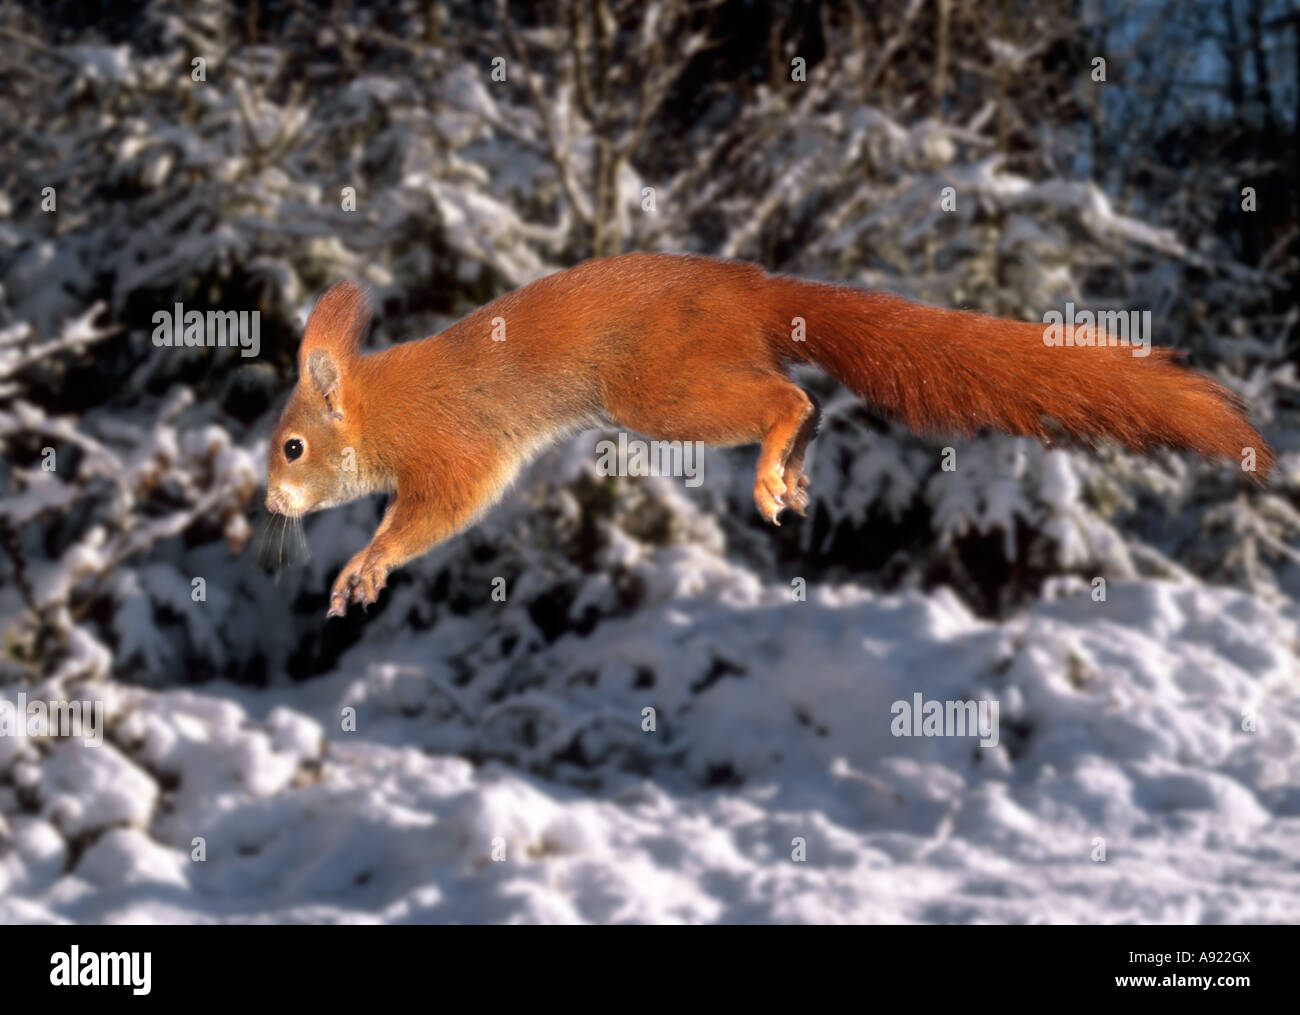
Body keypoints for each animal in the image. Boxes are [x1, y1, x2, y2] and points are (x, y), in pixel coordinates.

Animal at [264, 253, 1273, 618]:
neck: (380, 404)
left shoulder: (453, 450)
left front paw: (364, 562)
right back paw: (789, 474)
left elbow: (436, 511)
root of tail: (748, 288)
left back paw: (769, 470)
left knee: (785, 399)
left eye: (292, 447)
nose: (270, 501)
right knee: (801, 401)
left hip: (661, 388)